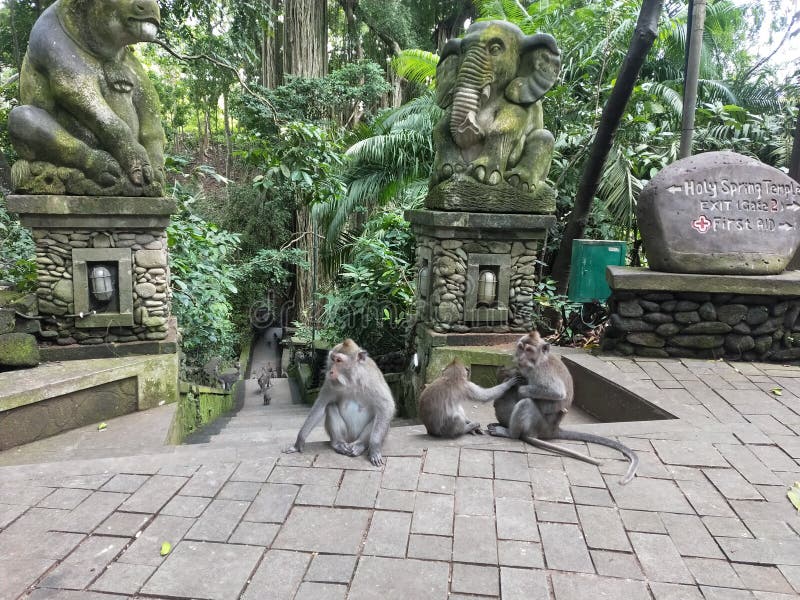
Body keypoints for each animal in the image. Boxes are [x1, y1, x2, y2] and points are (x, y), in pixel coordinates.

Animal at [489, 332, 639, 485]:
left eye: (529, 350)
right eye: (520, 348)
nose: (520, 358)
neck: (538, 361)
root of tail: (553, 430)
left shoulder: (542, 372)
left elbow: (556, 392)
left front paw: (520, 388)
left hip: (540, 424)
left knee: (526, 403)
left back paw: (510, 433)